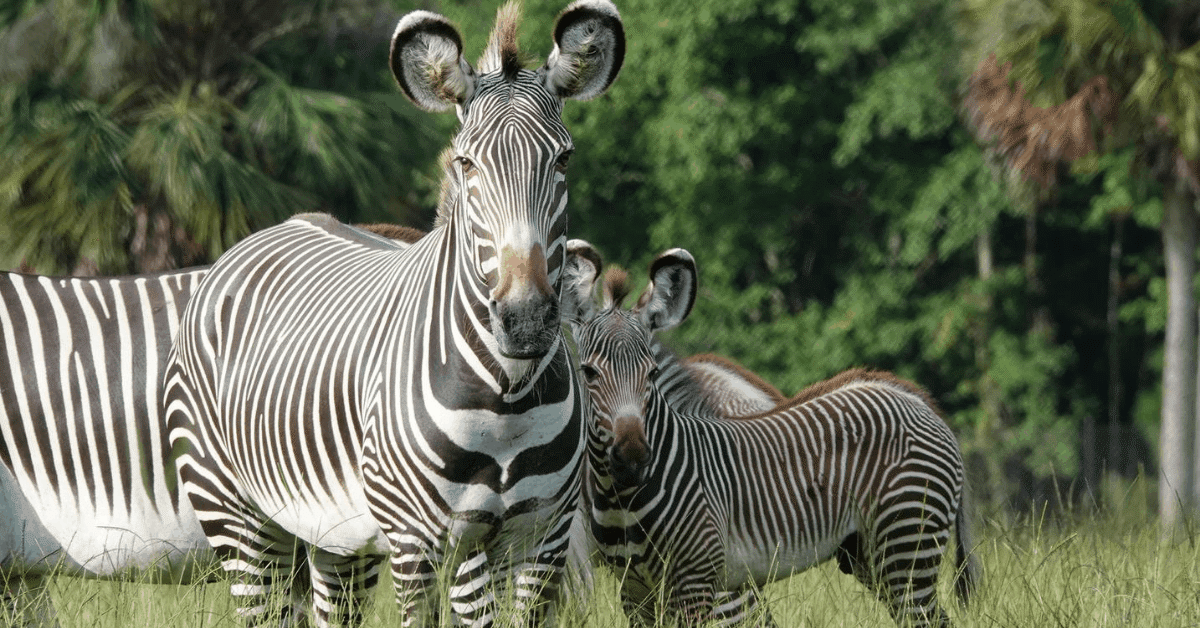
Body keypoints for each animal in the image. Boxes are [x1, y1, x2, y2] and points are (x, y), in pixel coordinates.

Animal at [162, 2, 624, 626]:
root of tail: (268, 232)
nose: (526, 320)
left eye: (564, 158)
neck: (505, 399)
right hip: (235, 514)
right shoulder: (422, 541)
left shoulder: (541, 539)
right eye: (466, 164)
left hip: (335, 537)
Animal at [560, 246, 978, 627]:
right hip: (870, 554)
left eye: (650, 374)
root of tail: (918, 401)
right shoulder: (635, 593)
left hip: (906, 544)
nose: (632, 457)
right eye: (589, 373)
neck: (624, 499)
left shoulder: (704, 584)